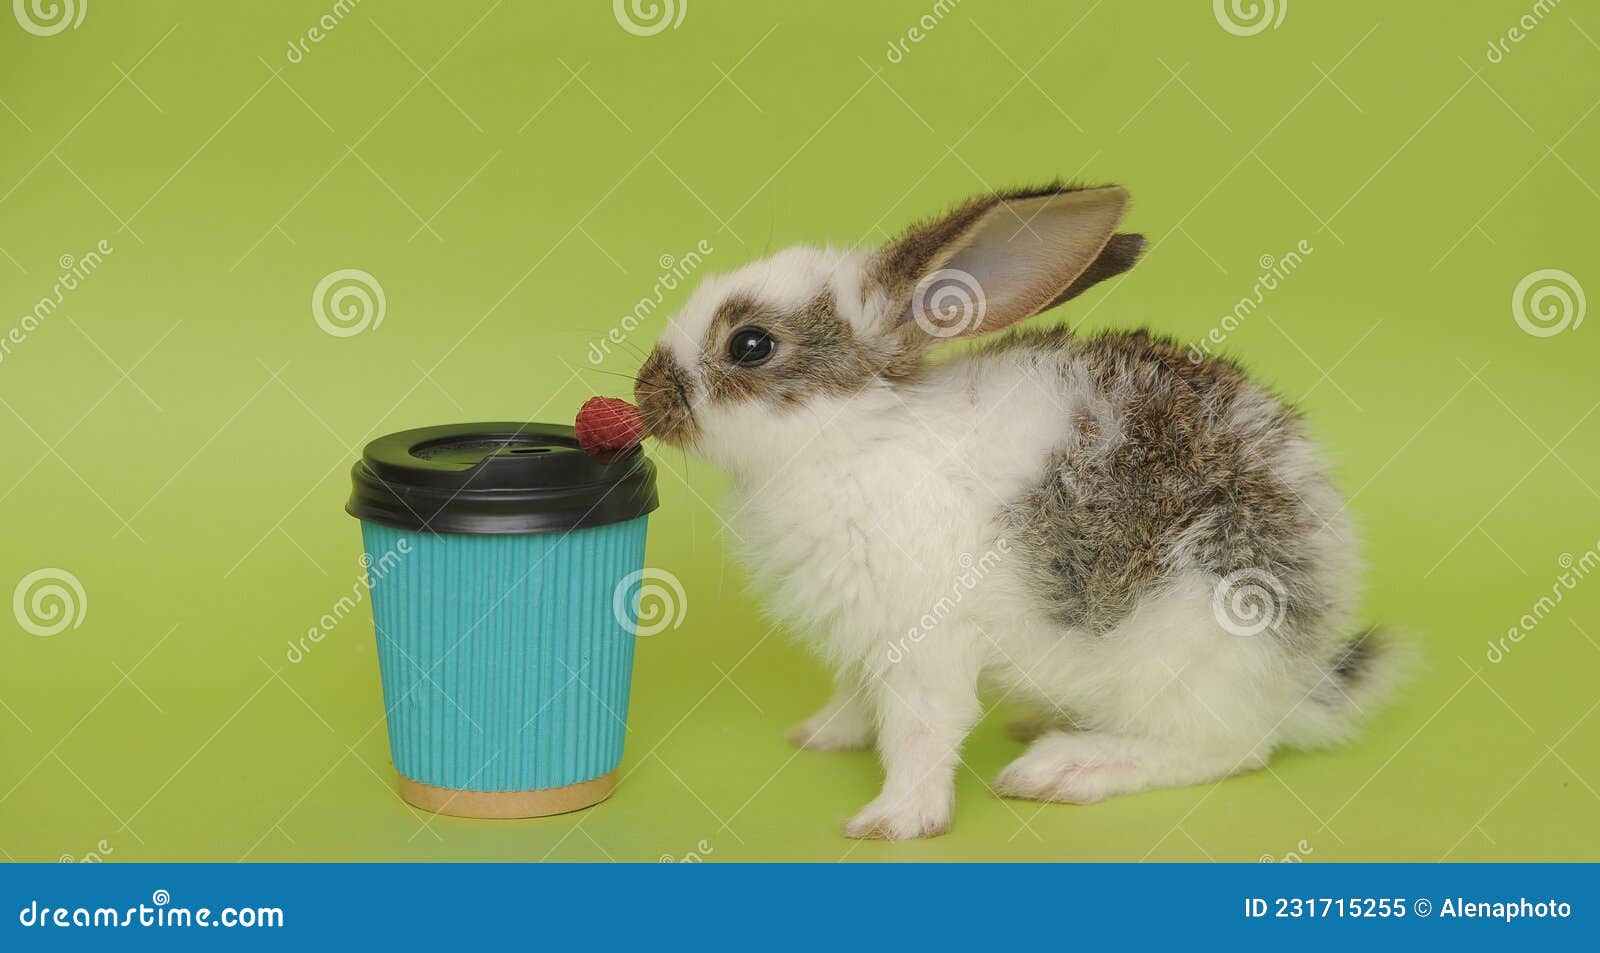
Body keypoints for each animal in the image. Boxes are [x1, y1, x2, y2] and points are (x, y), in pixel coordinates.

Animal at [632, 182, 1404, 840]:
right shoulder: (866, 638)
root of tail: (1307, 666)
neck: (855, 436)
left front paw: (892, 821)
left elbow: (920, 731)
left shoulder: (925, 641)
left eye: (751, 344)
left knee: (1228, 748)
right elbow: (858, 696)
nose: (646, 394)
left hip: (1195, 638)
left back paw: (1065, 766)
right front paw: (823, 735)